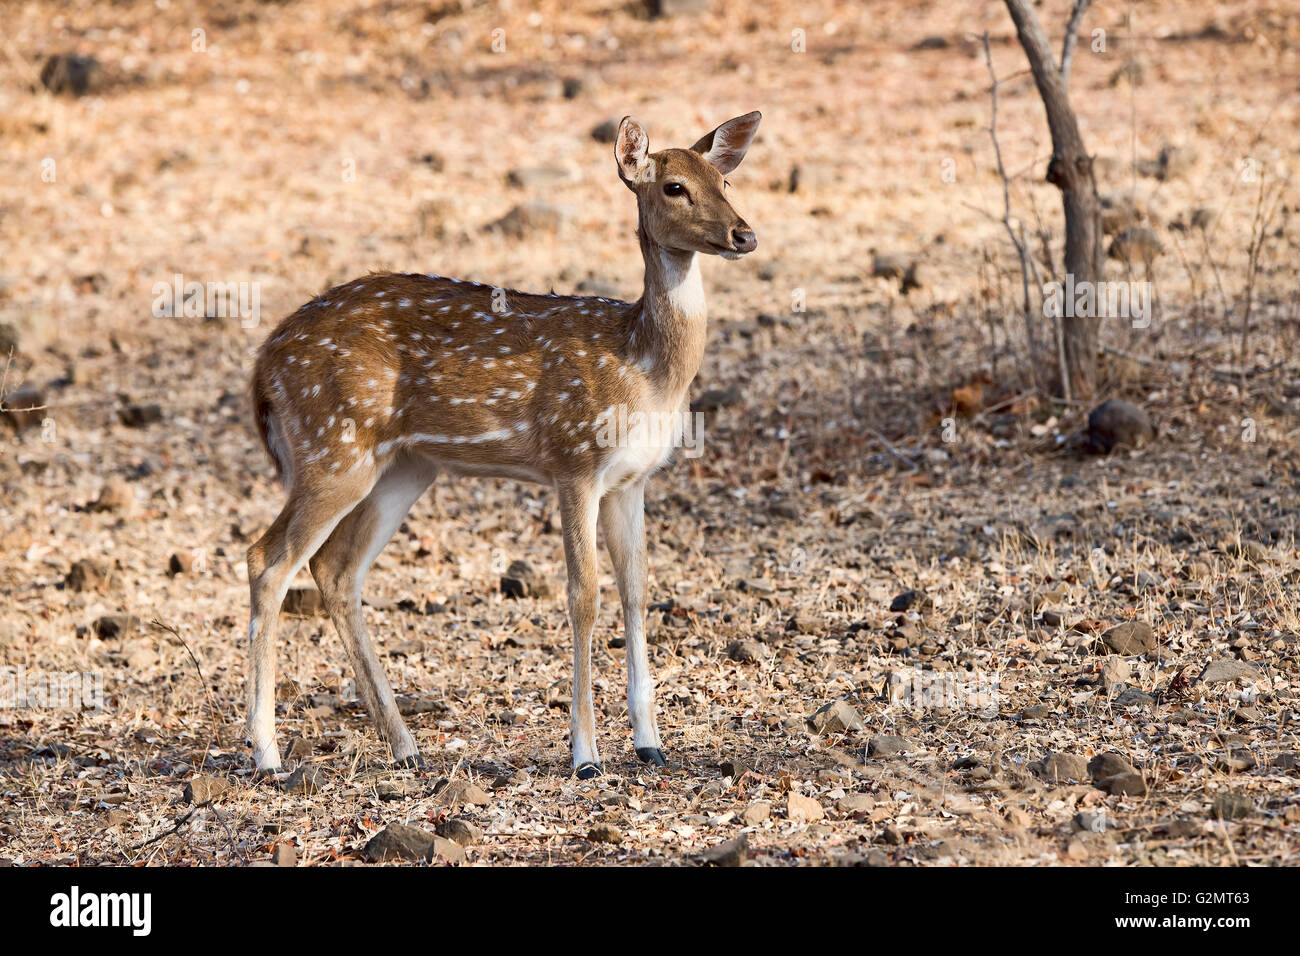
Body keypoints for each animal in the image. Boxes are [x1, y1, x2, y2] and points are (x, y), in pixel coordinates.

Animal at [245, 111, 761, 780]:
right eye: (674, 186)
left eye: (724, 180)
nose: (744, 233)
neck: (645, 369)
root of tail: (264, 364)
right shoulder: (574, 460)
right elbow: (583, 595)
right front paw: (585, 755)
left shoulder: (632, 480)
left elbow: (637, 589)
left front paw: (651, 744)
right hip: (331, 446)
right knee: (268, 559)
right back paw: (266, 752)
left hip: (404, 466)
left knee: (335, 567)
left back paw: (405, 745)